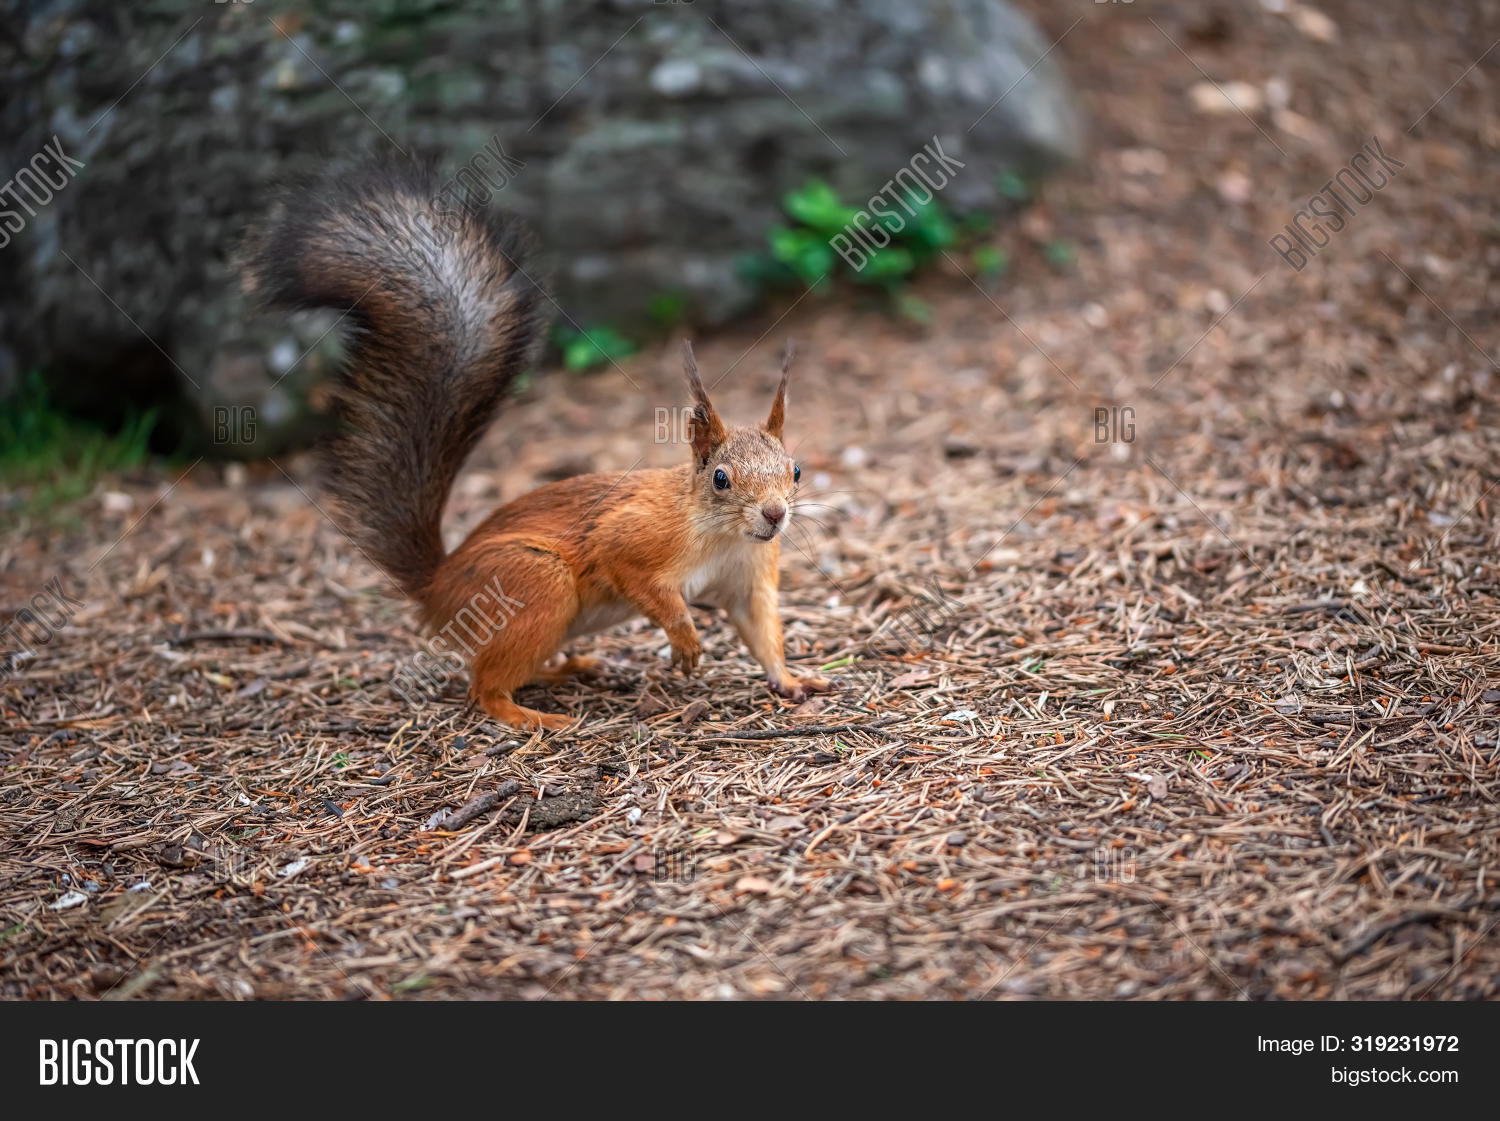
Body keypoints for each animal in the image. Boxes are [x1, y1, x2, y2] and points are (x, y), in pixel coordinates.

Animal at [244, 163, 831, 730]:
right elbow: (641, 580)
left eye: (796, 471)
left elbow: (761, 633)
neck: (723, 537)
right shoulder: (632, 537)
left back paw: (573, 669)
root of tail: (437, 588)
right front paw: (684, 640)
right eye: (720, 479)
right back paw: (533, 718)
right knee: (484, 686)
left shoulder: (748, 581)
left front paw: (792, 679)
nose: (775, 515)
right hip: (537, 584)